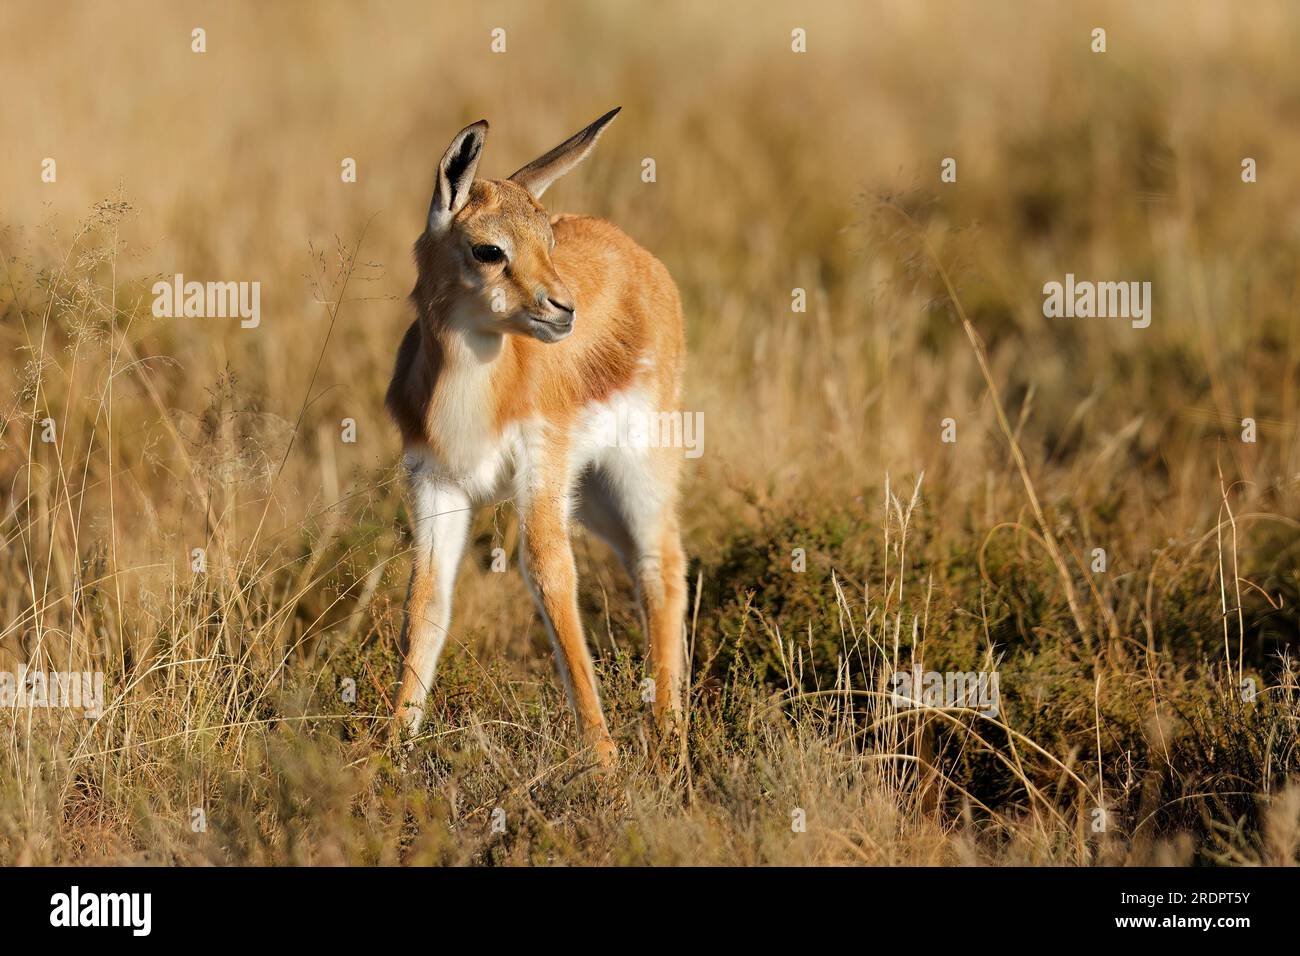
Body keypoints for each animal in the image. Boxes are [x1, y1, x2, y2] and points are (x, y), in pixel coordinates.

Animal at [386, 108, 687, 767]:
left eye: (546, 241)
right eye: (488, 249)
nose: (562, 310)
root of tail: (634, 253)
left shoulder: (538, 472)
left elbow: (551, 577)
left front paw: (604, 765)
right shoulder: (435, 484)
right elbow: (425, 602)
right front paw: (388, 750)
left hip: (638, 470)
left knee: (663, 564)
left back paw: (669, 735)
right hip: (595, 496)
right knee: (642, 562)